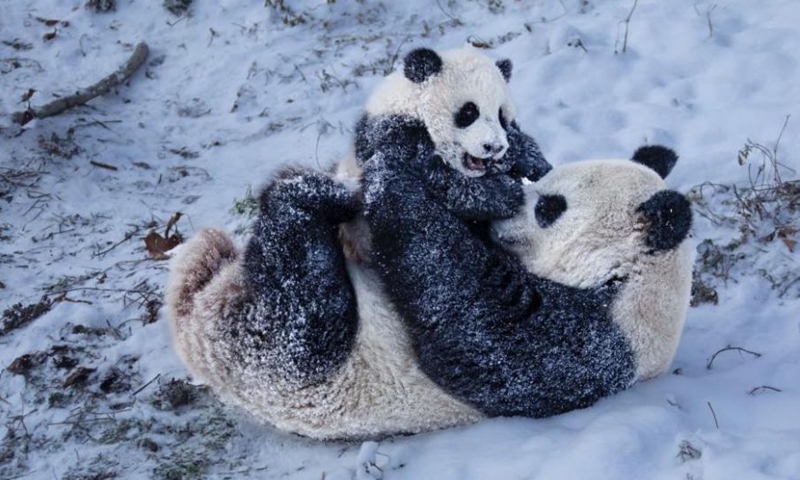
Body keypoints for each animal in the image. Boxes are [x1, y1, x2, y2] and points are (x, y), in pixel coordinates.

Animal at [167, 47, 550, 441]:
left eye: (502, 115)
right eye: (468, 112)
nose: (494, 146)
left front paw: (524, 161)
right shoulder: (388, 138)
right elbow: (434, 179)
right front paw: (499, 192)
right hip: (282, 343)